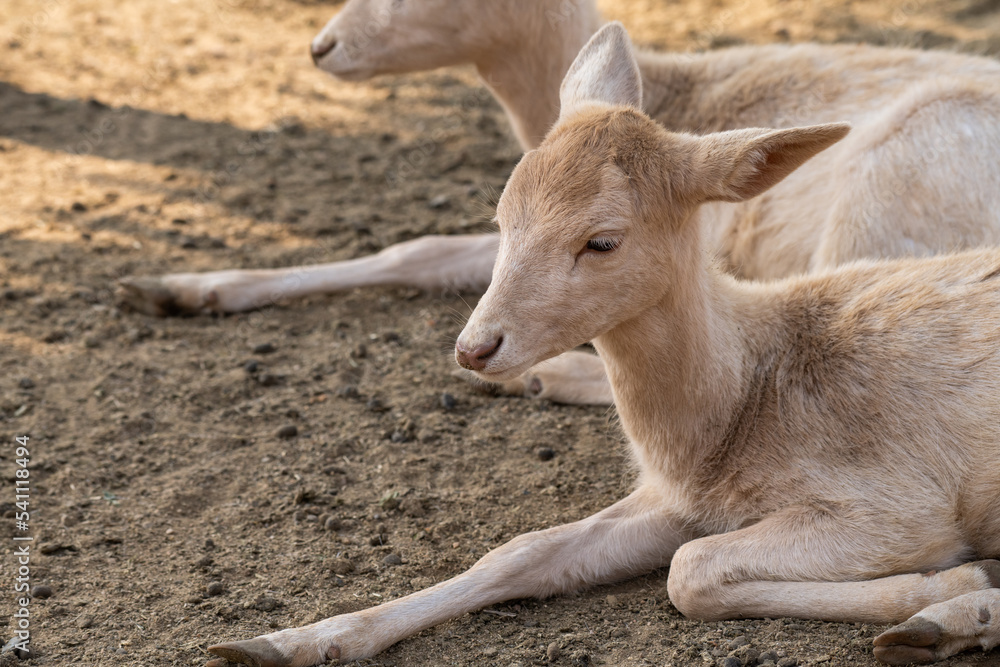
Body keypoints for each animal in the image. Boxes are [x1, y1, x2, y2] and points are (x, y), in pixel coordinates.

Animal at [205, 24, 1000, 667]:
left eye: (602, 240)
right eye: (501, 216)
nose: (474, 348)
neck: (739, 406)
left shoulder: (895, 503)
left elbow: (689, 571)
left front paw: (958, 592)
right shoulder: (674, 499)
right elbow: (523, 551)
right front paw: (280, 641)